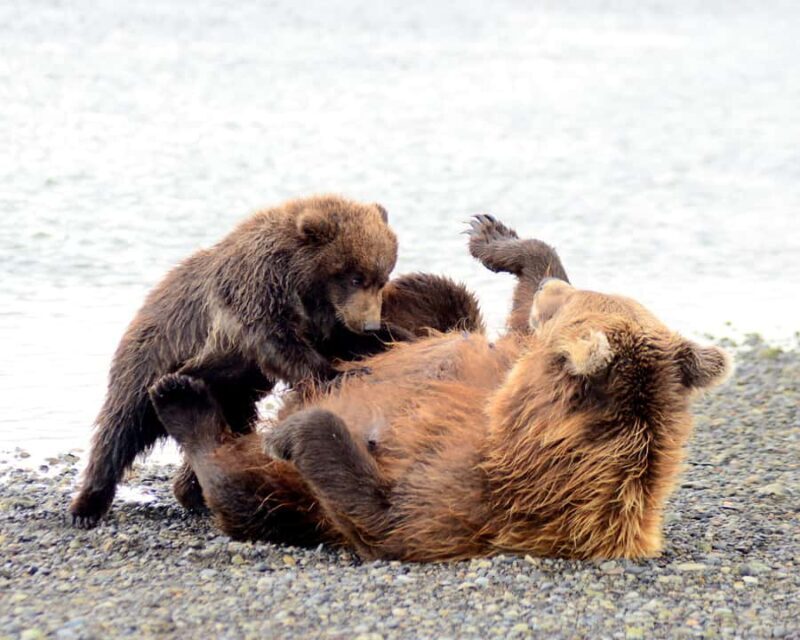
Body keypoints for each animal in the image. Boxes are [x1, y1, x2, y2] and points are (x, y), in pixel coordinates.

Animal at [70, 194, 483, 527]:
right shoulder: (256, 289)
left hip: (230, 392)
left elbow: (342, 338)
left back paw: (191, 489)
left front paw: (399, 338)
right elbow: (278, 341)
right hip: (151, 360)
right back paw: (88, 504)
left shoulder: (325, 314)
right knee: (121, 427)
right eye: (354, 276)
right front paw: (334, 374)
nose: (368, 322)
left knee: (229, 424)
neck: (305, 281)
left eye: (381, 277)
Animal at [149, 214, 732, 561]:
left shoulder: (474, 494)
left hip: (285, 497)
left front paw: (296, 431)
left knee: (244, 491)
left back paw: (182, 397)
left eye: (572, 303)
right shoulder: (501, 370)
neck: (516, 431)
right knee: (441, 298)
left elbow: (381, 511)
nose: (555, 289)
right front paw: (496, 238)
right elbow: (512, 322)